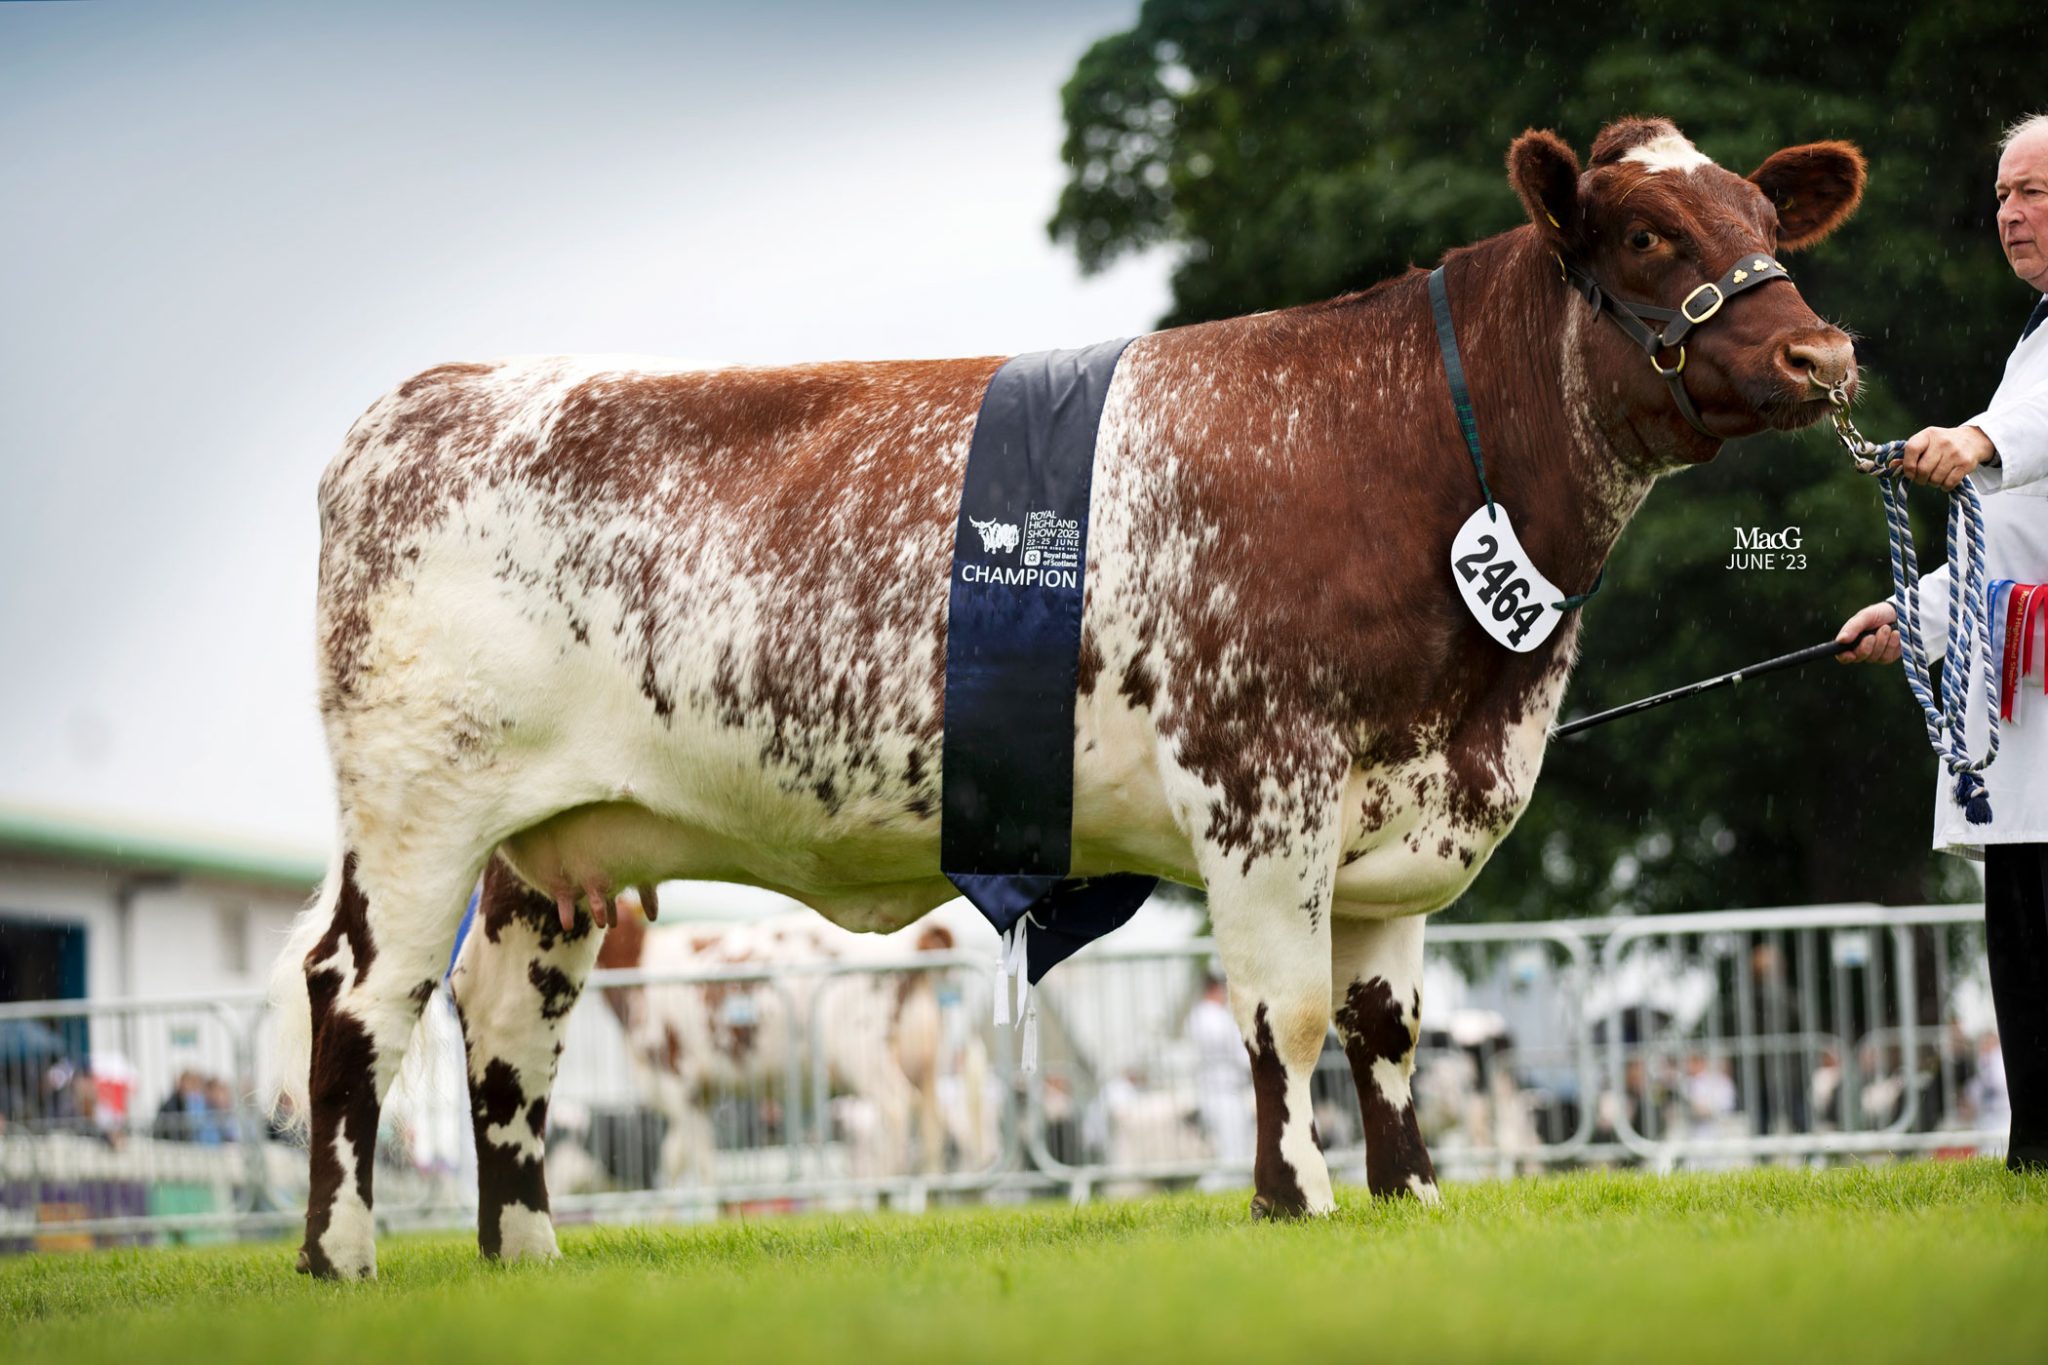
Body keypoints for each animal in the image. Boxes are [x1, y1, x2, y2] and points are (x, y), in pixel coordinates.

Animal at [591, 909, 993, 1186]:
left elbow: (699, 1159)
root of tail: (920, 933)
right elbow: (674, 1157)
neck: (637, 959)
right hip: (929, 1060)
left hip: (860, 1049)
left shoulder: (676, 1076)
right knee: (932, 1122)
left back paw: (883, 1187)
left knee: (895, 1107)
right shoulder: (694, 1092)